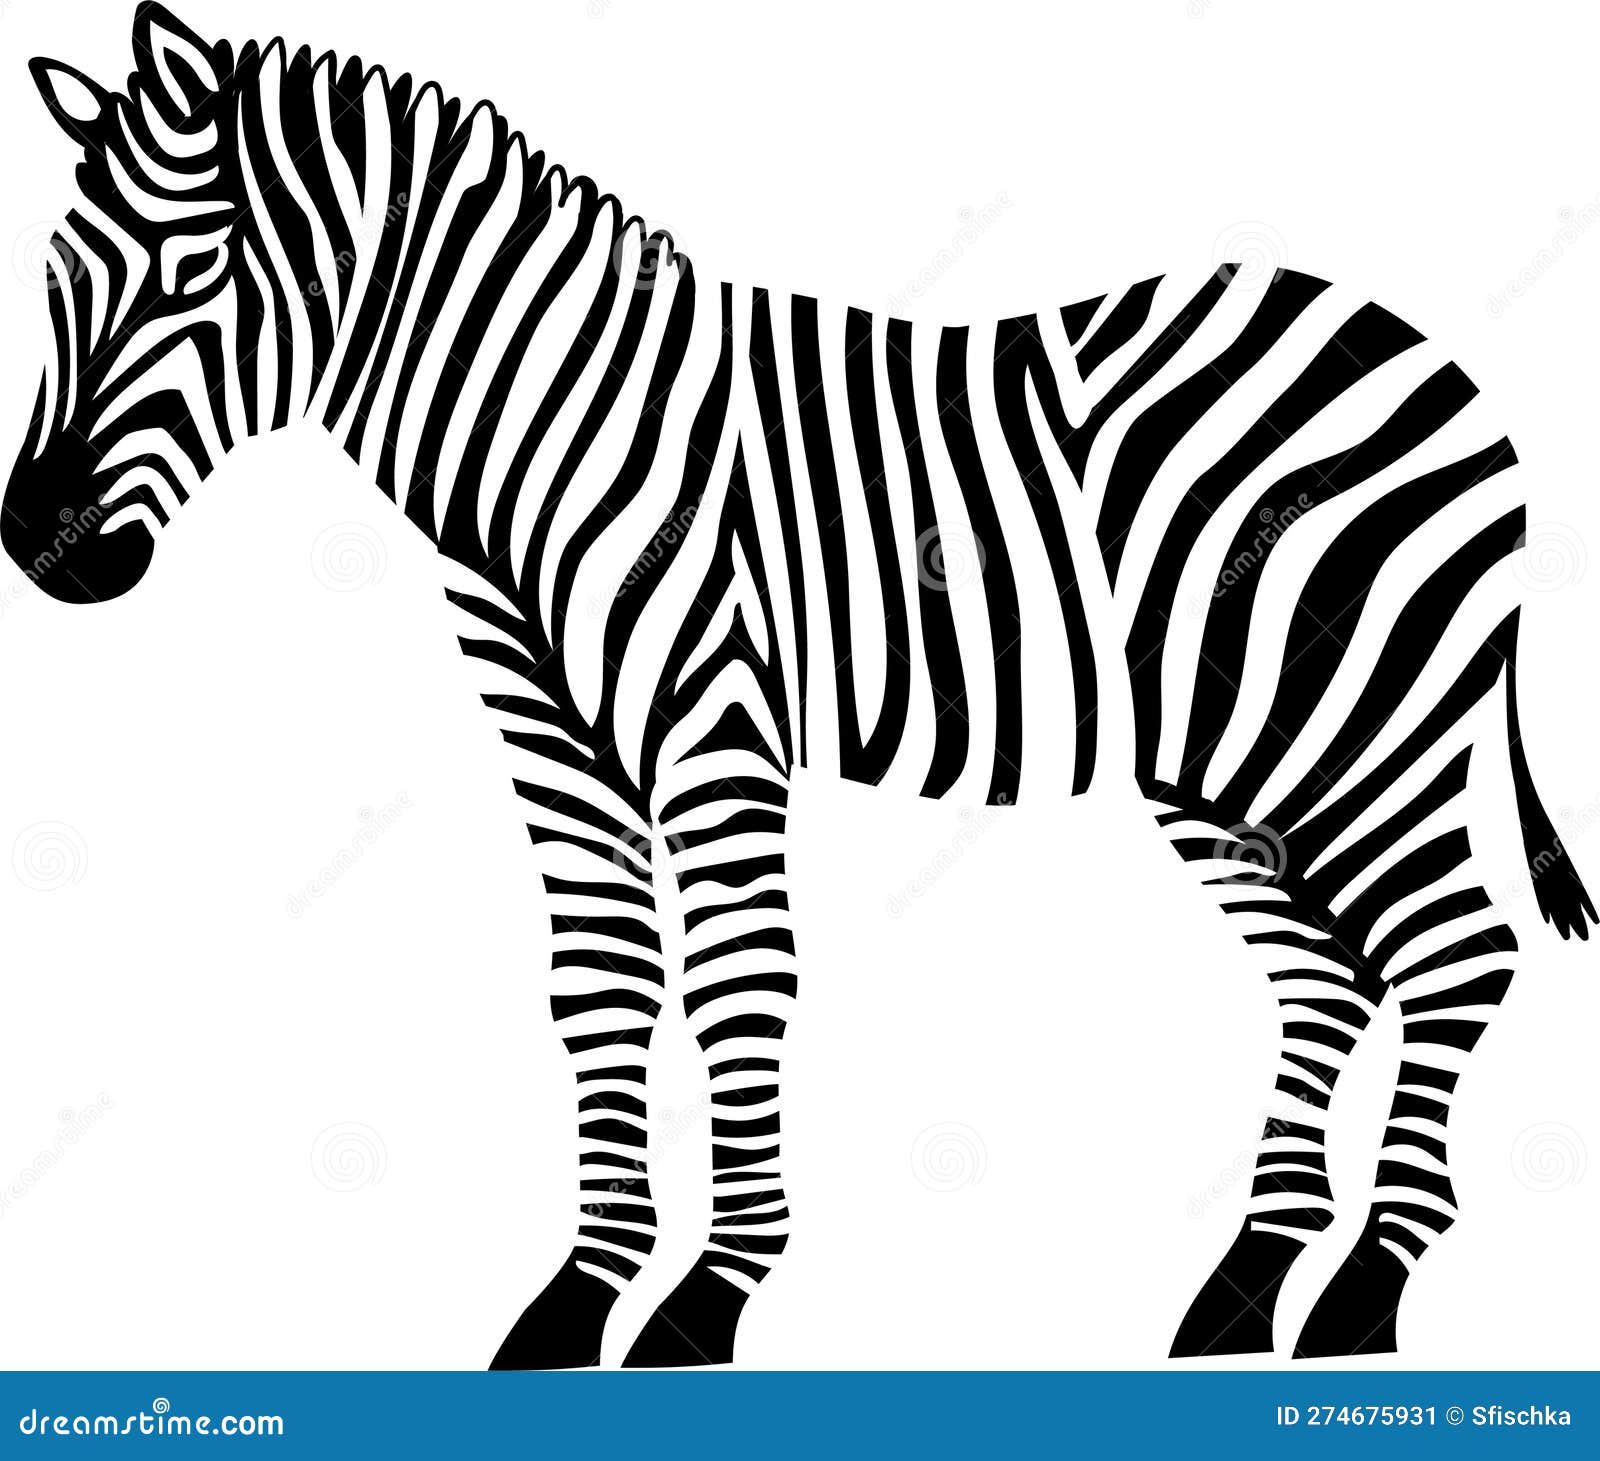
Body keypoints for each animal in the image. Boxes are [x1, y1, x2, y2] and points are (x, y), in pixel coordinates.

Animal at [5, 4, 1591, 1367]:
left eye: (191, 277)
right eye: (56, 279)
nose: (36, 544)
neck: (545, 428)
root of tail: (1447, 366)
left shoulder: (715, 721)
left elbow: (736, 985)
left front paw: (707, 1300)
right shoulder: (553, 744)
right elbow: (598, 989)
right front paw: (578, 1302)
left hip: (1365, 720)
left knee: (1457, 952)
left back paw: (1364, 1294)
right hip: (1230, 758)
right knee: (1325, 970)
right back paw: (1245, 1291)